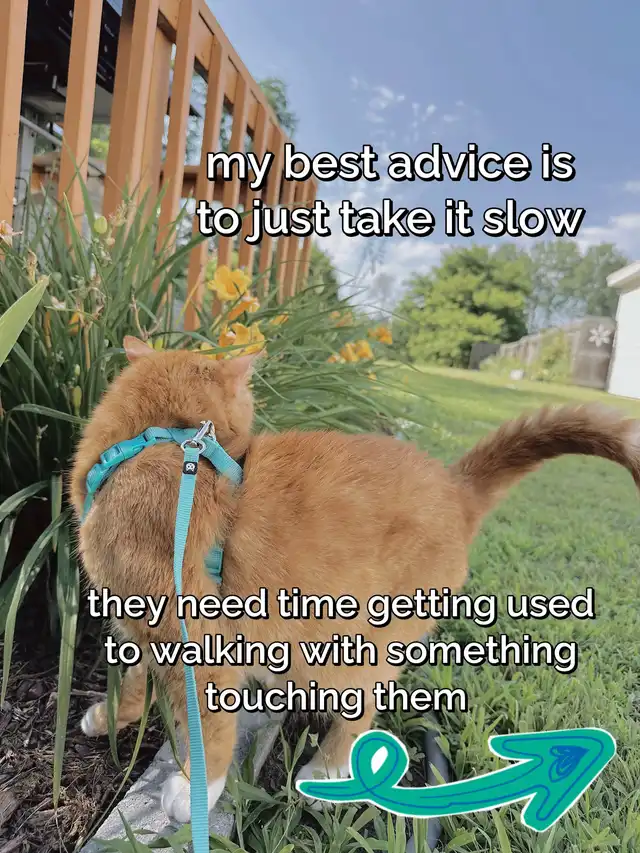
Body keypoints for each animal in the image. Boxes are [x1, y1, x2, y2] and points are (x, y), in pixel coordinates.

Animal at [69, 336, 640, 824]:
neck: (156, 445)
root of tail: (455, 486)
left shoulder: (199, 643)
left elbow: (209, 728)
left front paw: (194, 791)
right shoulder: (139, 628)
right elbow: (135, 683)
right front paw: (108, 717)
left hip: (354, 649)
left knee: (362, 709)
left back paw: (327, 769)